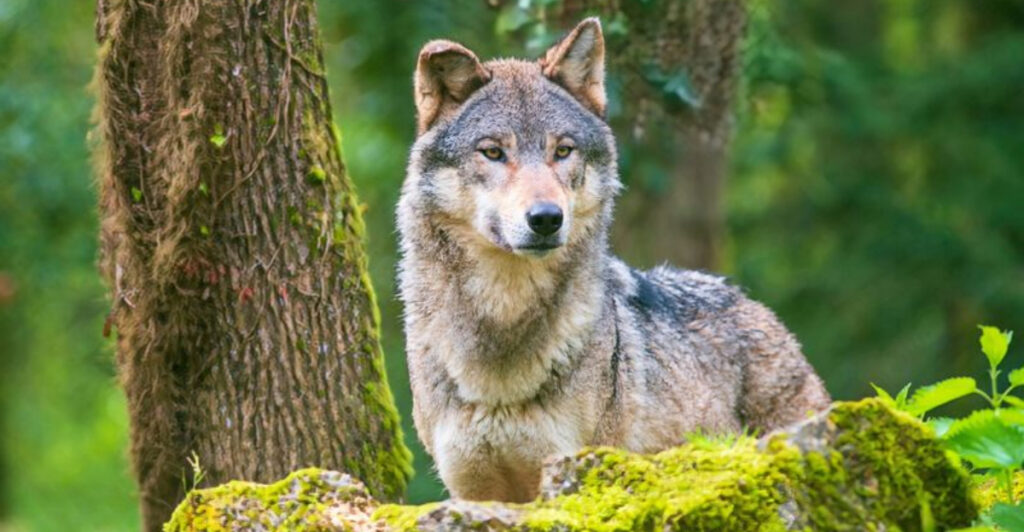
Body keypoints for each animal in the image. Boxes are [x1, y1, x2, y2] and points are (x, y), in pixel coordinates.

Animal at [397, 18, 831, 503]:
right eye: (493, 152)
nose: (546, 219)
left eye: (562, 151)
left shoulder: (576, 472)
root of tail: (745, 299)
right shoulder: (473, 492)